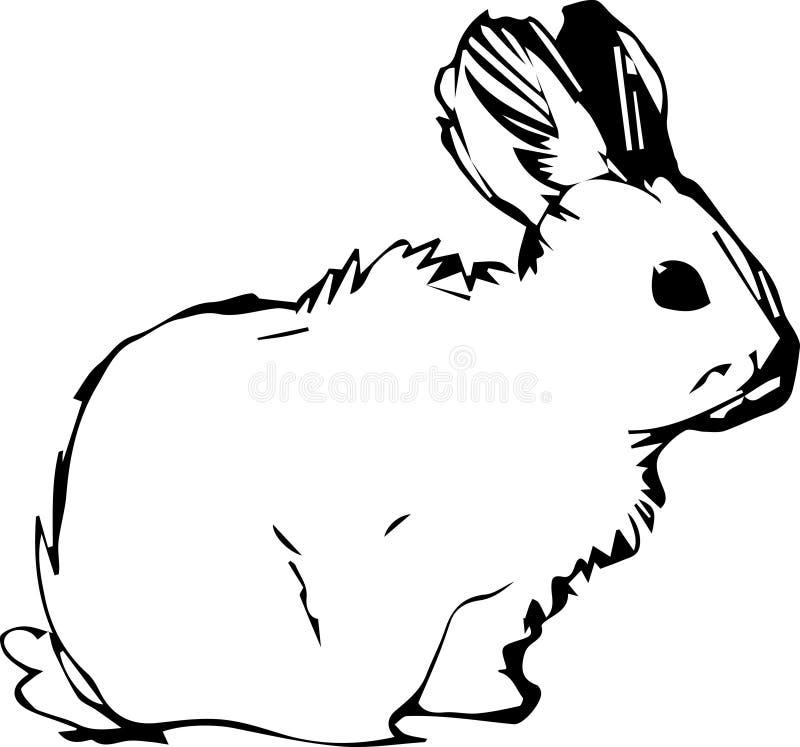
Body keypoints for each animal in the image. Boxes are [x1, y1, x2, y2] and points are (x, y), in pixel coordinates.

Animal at [3, 1, 797, 745]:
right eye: (677, 284)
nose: (779, 362)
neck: (563, 368)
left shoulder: (506, 597)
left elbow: (483, 650)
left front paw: (493, 706)